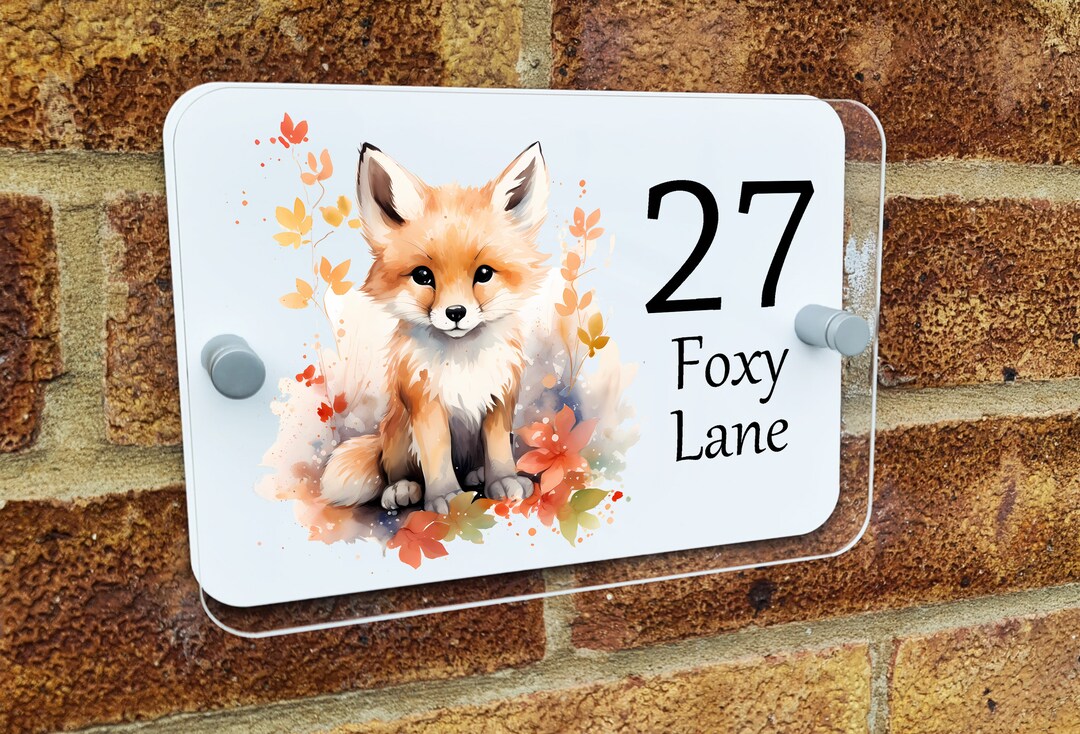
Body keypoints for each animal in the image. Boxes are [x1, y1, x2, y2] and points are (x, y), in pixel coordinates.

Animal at [319, 141, 551, 514]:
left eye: (484, 273)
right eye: (422, 276)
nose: (455, 312)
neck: (462, 360)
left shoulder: (499, 396)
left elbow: (499, 448)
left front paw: (503, 480)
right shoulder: (425, 402)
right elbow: (436, 455)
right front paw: (445, 497)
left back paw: (476, 475)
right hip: (399, 434)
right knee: (395, 471)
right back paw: (404, 488)